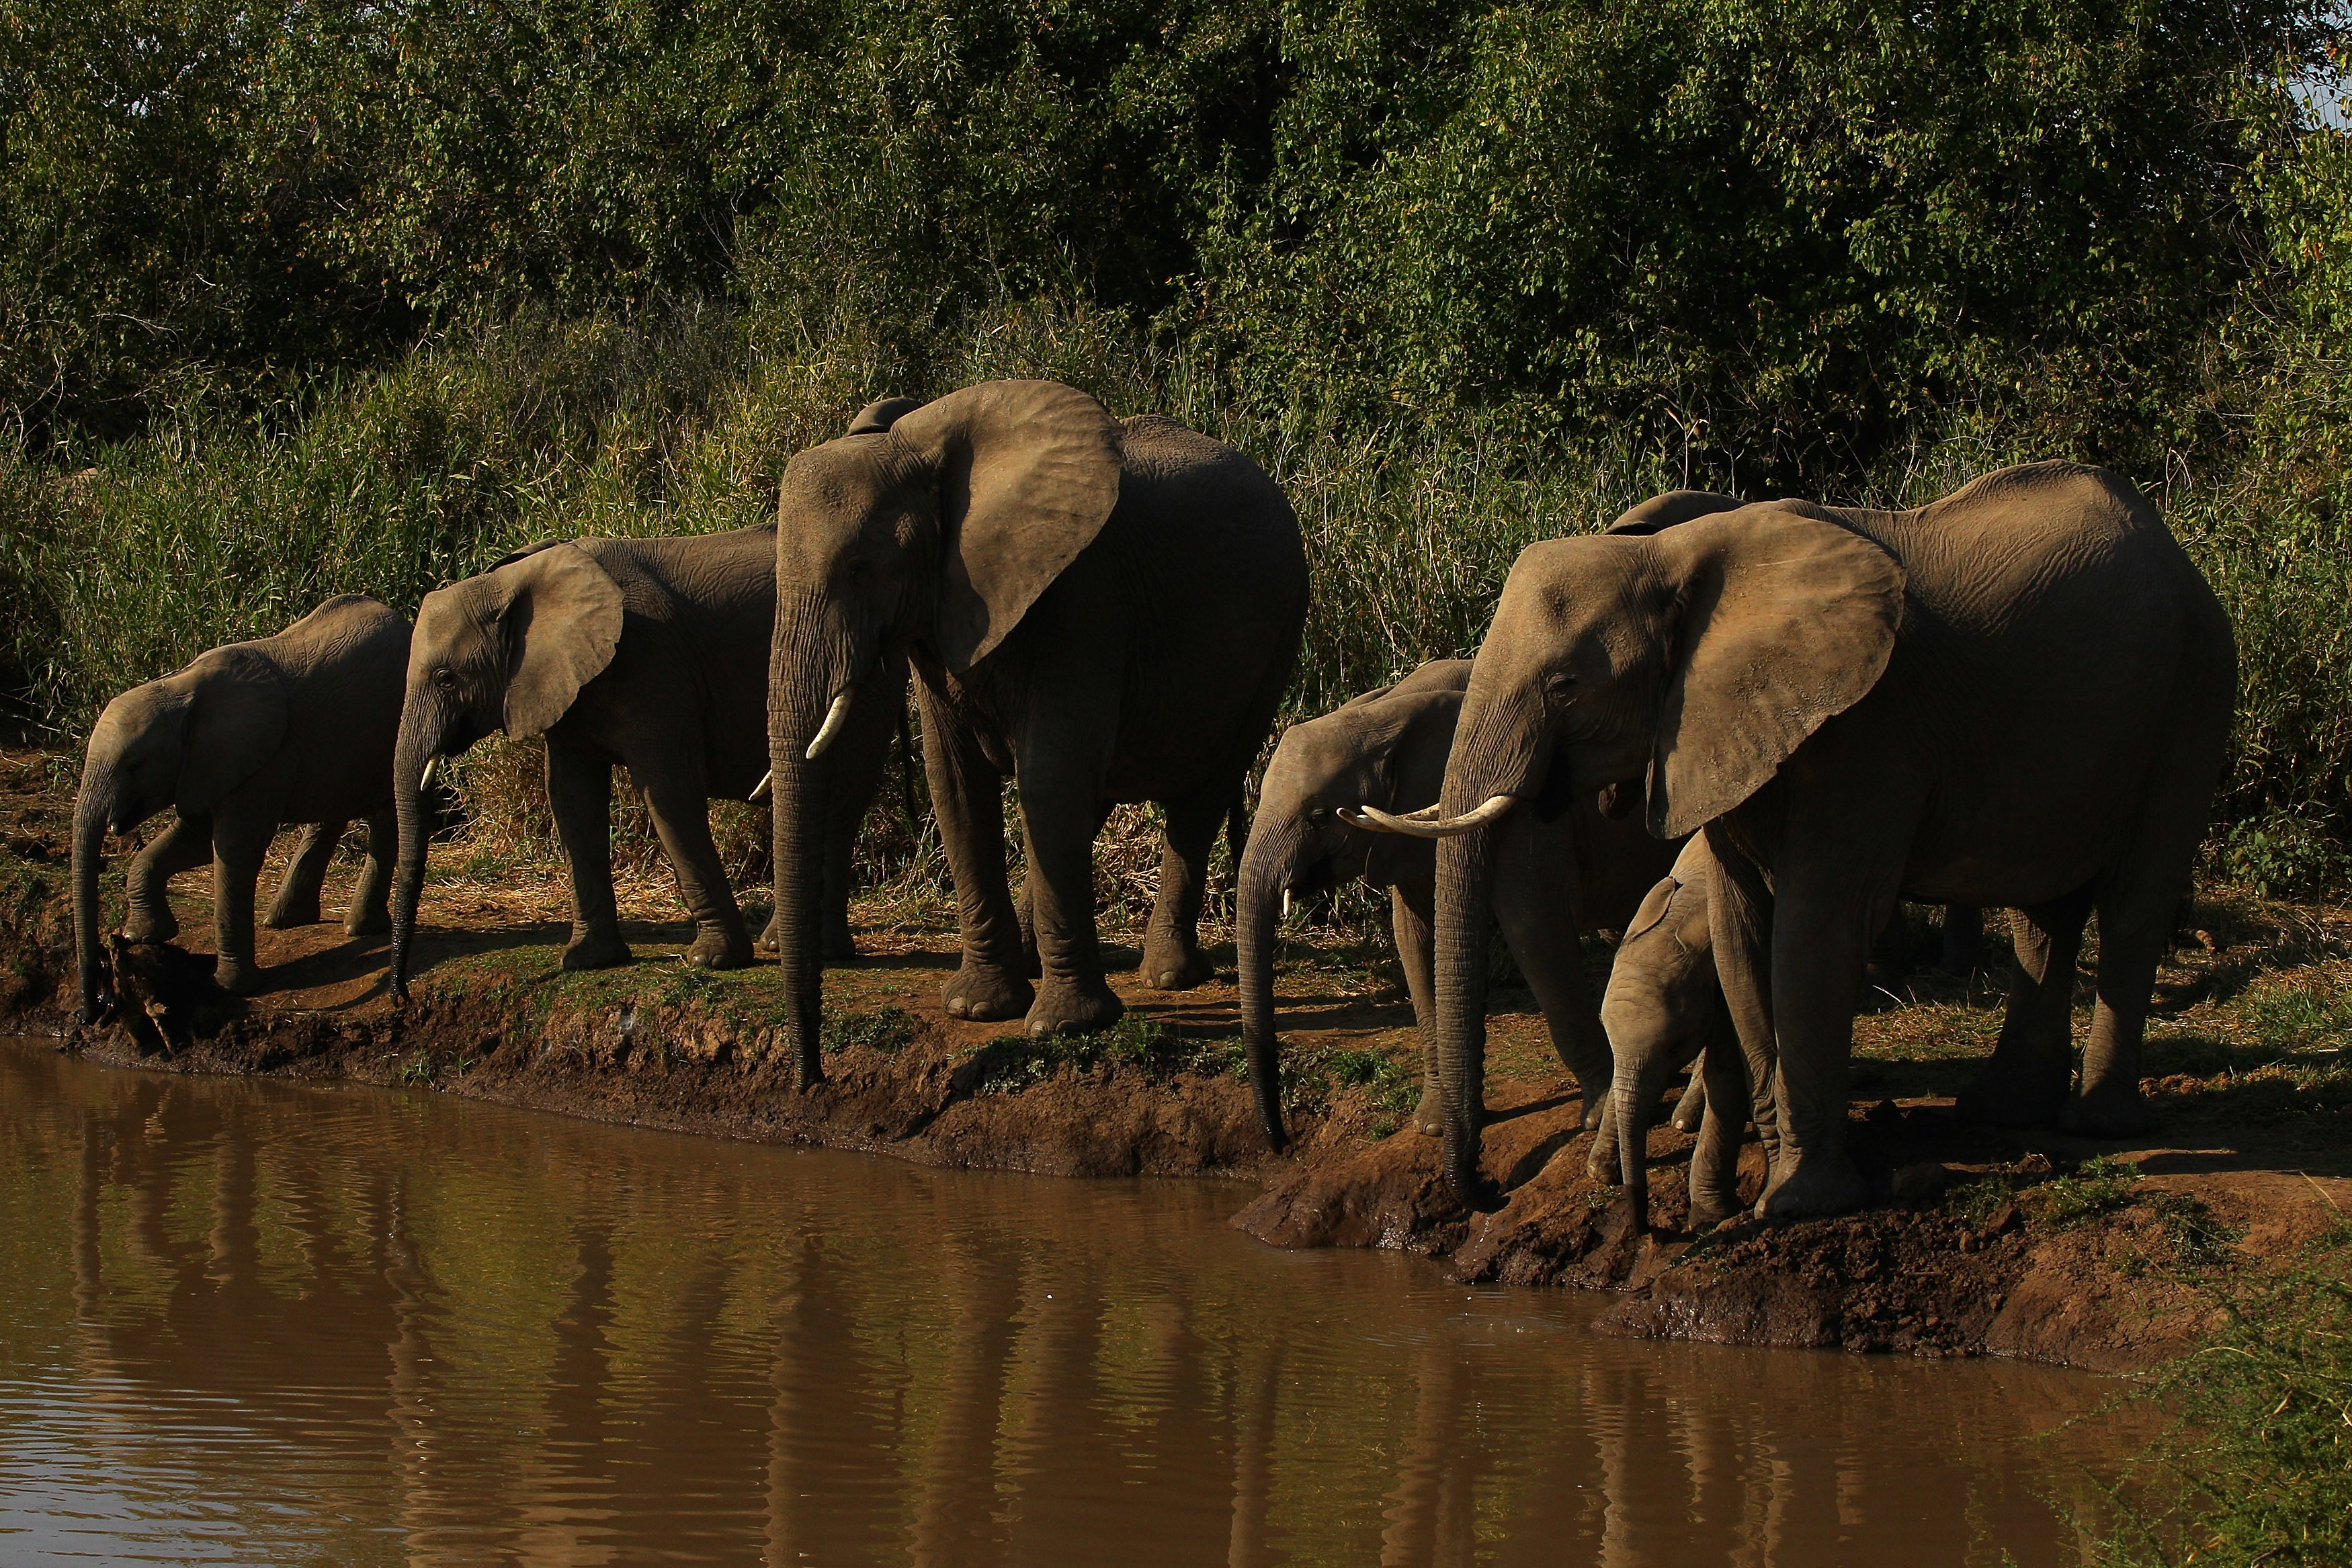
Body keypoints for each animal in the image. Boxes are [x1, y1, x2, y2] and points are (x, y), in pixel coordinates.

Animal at [72, 595, 409, 1021]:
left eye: (135, 767)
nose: (91, 1011)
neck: (178, 690)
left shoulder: (261, 760)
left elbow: (234, 850)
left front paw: (235, 987)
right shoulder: (206, 765)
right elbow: (195, 839)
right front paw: (144, 935)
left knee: (383, 813)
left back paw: (359, 928)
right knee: (331, 810)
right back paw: (285, 920)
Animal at [766, 379, 1308, 1085]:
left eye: (860, 567)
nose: (812, 1079)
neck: (922, 451)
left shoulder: (1082, 598)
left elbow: (1049, 776)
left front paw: (1065, 1026)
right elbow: (956, 786)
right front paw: (979, 1009)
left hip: (1277, 637)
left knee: (1200, 794)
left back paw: (1167, 978)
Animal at [1234, 658, 1680, 1148]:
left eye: (1318, 817)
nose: (1280, 1141)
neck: (1382, 712)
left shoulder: (1531, 816)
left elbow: (1534, 926)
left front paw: (1598, 1117)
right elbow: (1415, 941)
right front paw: (1433, 1126)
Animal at [1374, 461, 2233, 1217]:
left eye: (1563, 686)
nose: (1481, 1193)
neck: (1673, 557)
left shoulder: (1868, 727)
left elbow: (1815, 929)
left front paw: (1797, 1204)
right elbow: (1741, 927)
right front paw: (1773, 1162)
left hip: (2193, 689)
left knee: (2134, 899)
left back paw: (2098, 1123)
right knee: (2043, 913)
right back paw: (2003, 1109)